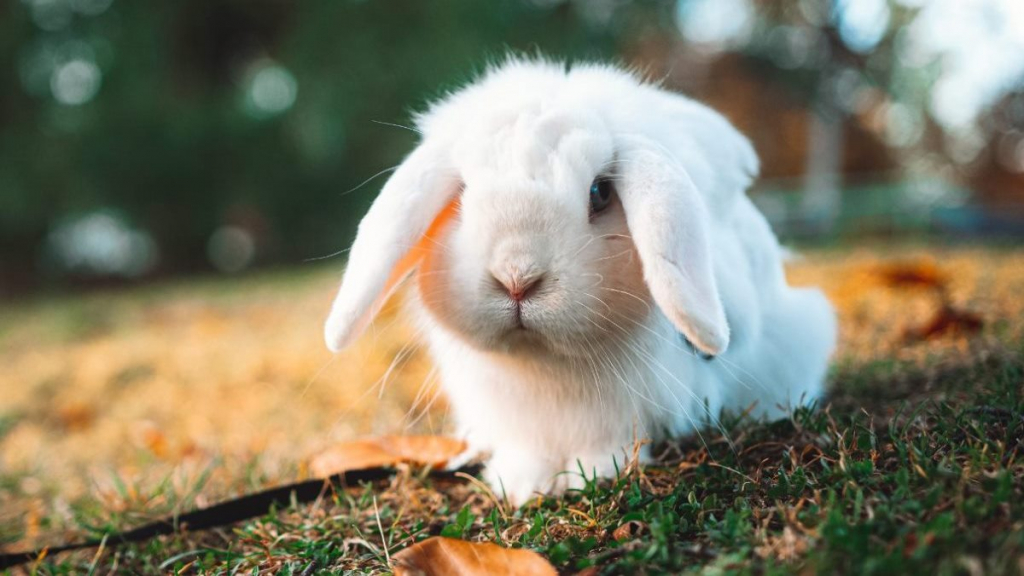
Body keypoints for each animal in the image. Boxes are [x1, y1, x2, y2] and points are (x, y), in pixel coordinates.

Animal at [324, 58, 837, 505]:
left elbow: (610, 442)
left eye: (599, 192)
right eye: (463, 194)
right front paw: (521, 484)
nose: (517, 276)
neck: (545, 367)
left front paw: (590, 475)